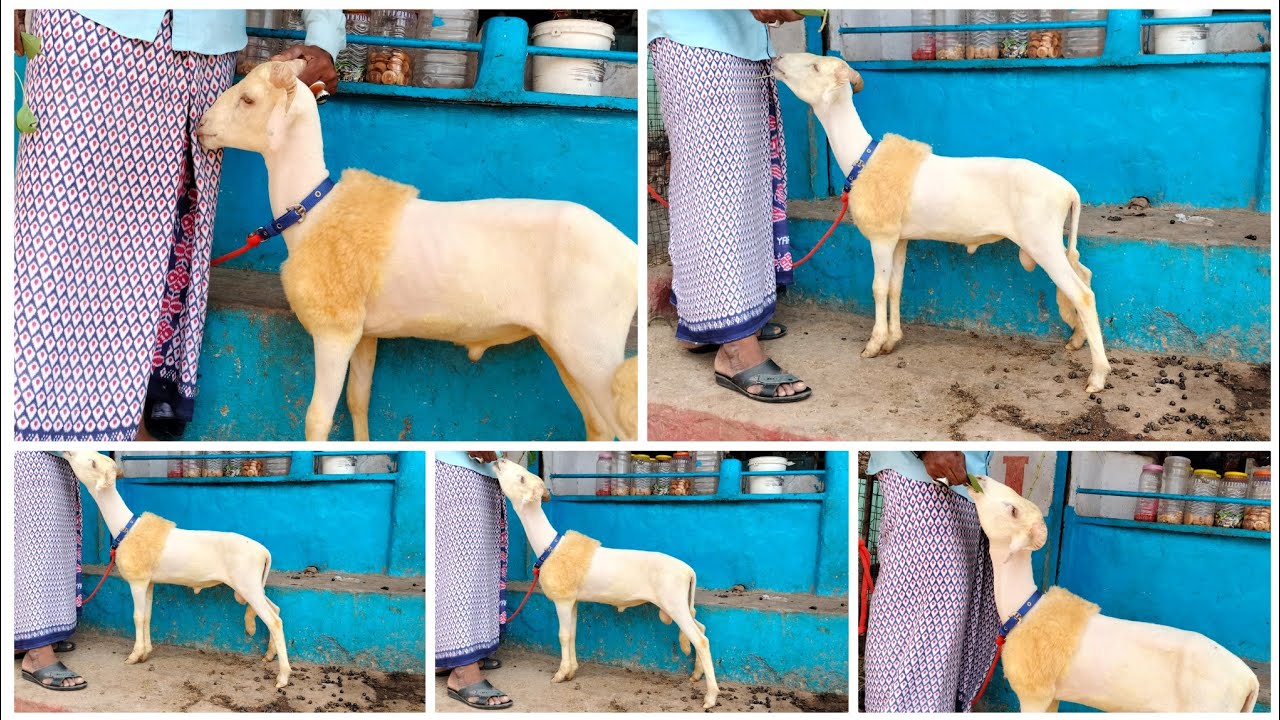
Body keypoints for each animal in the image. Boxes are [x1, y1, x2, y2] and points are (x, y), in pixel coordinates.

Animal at [63, 451, 290, 688]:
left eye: (92, 463)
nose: (68, 452)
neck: (125, 527)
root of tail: (263, 551)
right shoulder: (149, 582)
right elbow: (147, 615)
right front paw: (146, 652)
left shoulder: (137, 581)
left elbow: (137, 616)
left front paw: (134, 655)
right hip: (254, 584)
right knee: (275, 610)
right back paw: (269, 655)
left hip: (247, 584)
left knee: (274, 621)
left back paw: (283, 677)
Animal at [195, 60, 639, 441]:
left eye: (248, 99)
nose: (200, 126)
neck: (310, 210)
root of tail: (627, 249)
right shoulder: (365, 333)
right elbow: (358, 401)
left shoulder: (335, 330)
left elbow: (317, 419)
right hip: (566, 347)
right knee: (600, 427)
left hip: (593, 346)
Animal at [492, 458, 718, 708]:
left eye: (521, 478)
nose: (500, 459)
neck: (549, 546)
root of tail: (688, 570)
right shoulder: (573, 600)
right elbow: (573, 633)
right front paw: (572, 671)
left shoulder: (563, 599)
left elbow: (563, 635)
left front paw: (560, 674)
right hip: (682, 603)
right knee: (700, 628)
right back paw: (696, 675)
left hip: (674, 602)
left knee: (701, 639)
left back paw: (711, 696)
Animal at [772, 53, 1110, 393]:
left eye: (815, 67)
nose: (776, 59)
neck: (861, 158)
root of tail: (1068, 190)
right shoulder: (900, 238)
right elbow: (895, 286)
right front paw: (893, 340)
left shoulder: (881, 236)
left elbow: (879, 287)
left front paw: (874, 344)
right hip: (1052, 239)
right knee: (1084, 274)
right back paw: (1077, 340)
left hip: (1041, 239)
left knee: (1082, 294)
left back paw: (1097, 376)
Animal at [970, 474, 1258, 712]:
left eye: (1013, 510)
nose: (979, 479)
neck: (1024, 608)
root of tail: (1249, 680)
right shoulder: (1053, 697)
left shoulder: (1035, 695)